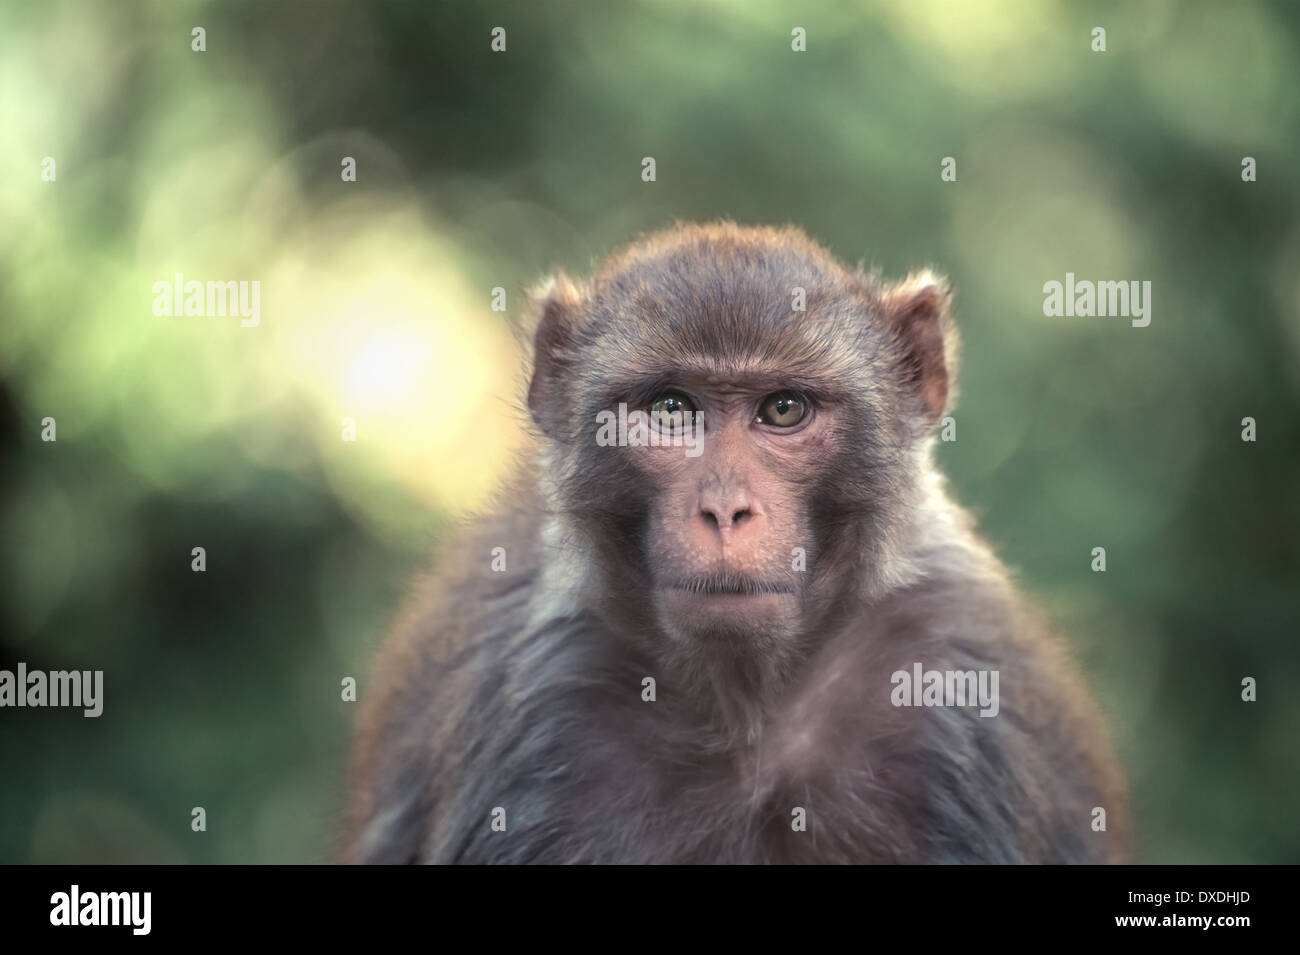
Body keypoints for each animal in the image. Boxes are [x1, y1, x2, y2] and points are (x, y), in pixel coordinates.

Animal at [343, 221, 1130, 864]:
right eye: (671, 410)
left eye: (783, 409)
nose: (725, 510)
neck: (747, 706)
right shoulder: (530, 711)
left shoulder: (959, 689)